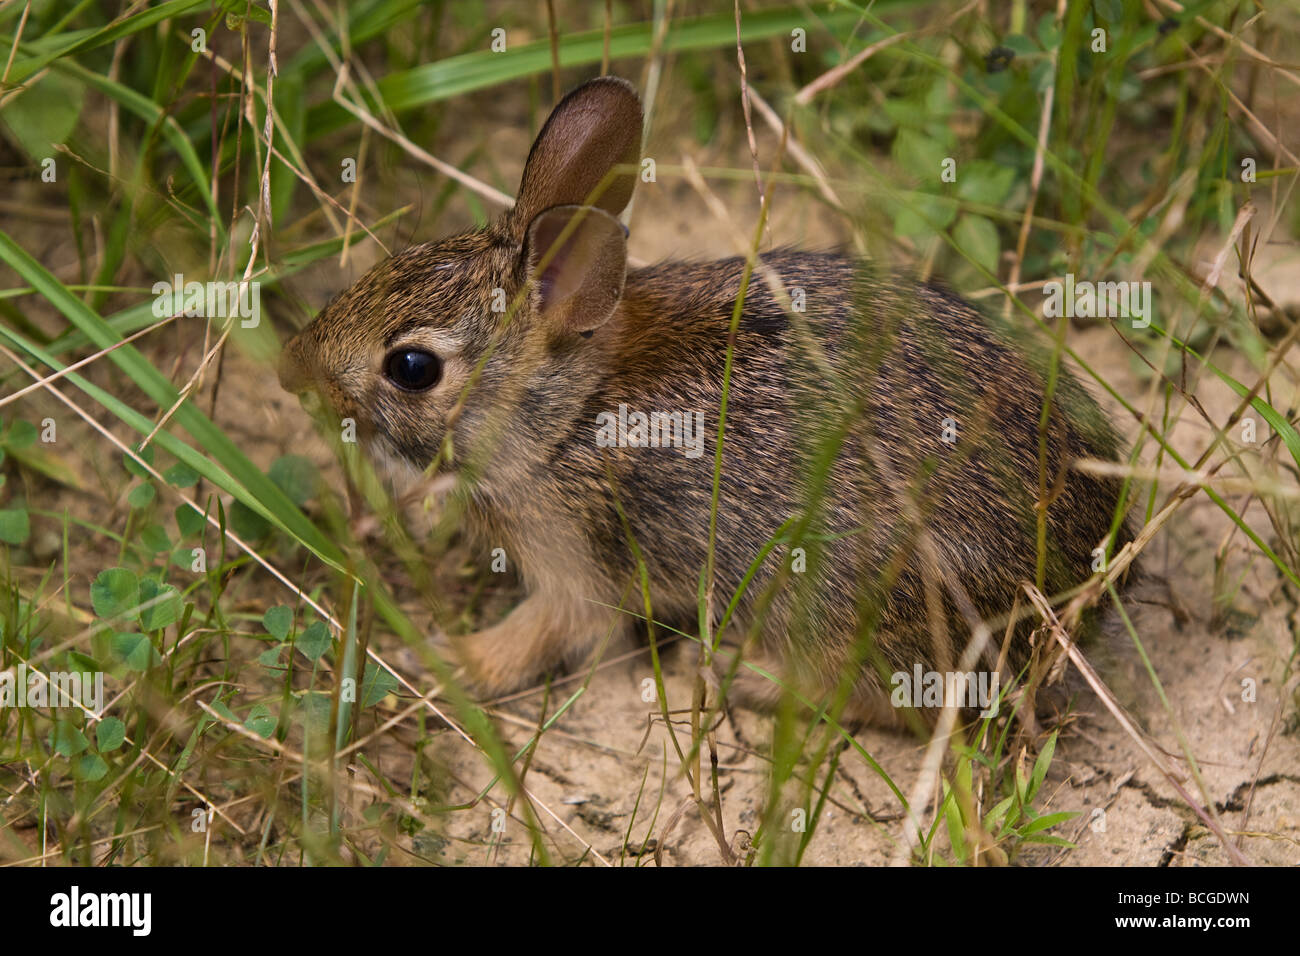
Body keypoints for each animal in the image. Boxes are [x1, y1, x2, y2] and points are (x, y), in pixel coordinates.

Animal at [278, 76, 1136, 727]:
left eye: (411, 367)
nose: (294, 377)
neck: (564, 418)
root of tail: (1090, 572)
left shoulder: (577, 563)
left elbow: (542, 635)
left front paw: (441, 664)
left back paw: (734, 672)